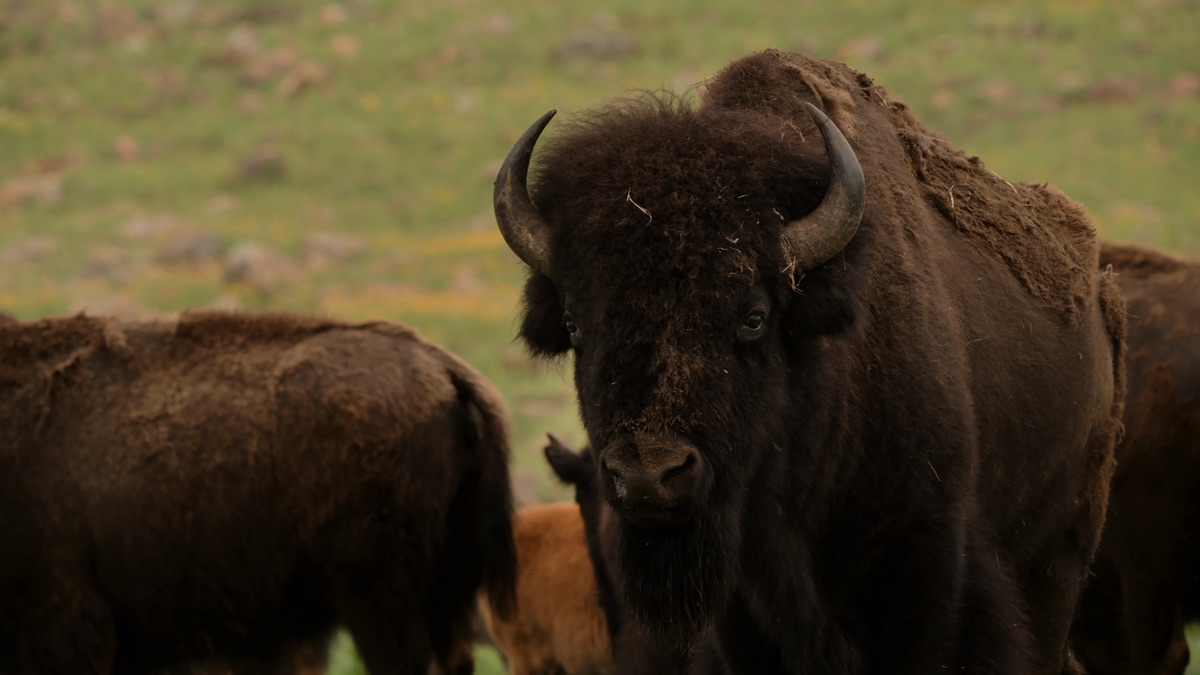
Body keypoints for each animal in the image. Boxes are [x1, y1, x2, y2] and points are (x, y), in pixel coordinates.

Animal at [494, 49, 1126, 673]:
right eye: (575, 324)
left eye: (753, 317)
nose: (650, 476)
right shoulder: (743, 612)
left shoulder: (931, 572)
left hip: (1060, 558)